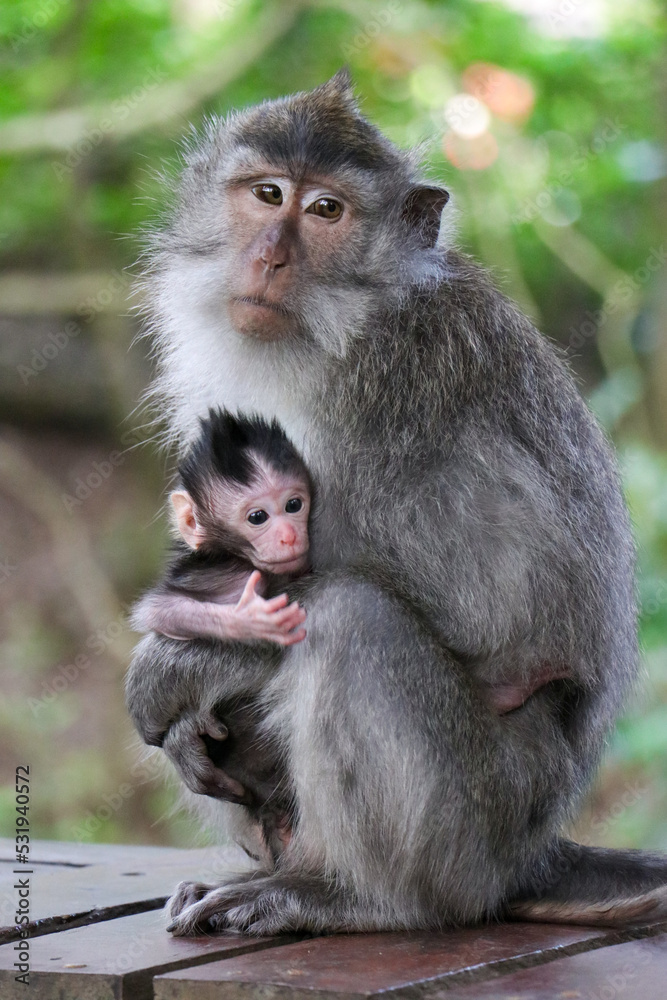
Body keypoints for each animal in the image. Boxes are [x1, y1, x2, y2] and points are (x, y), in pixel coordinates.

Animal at [131, 408, 312, 860]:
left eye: (294, 505)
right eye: (257, 517)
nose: (289, 535)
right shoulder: (210, 570)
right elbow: (160, 611)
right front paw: (248, 621)